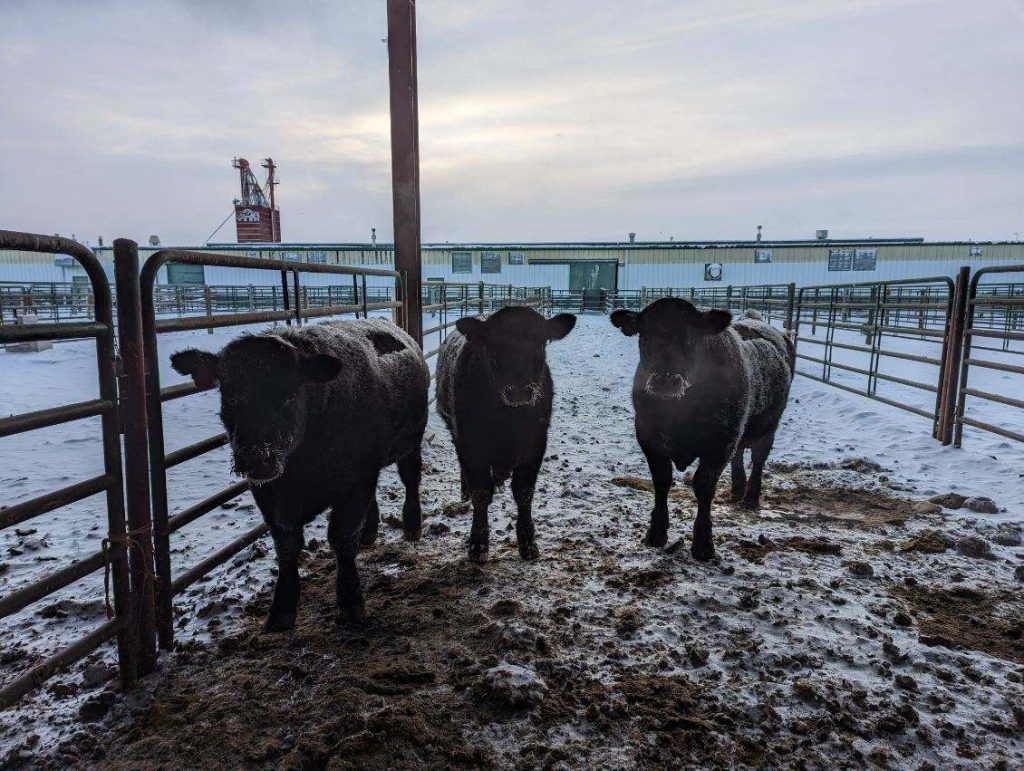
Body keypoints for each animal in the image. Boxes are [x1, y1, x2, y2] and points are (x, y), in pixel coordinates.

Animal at [170, 318, 429, 630]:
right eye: (228, 394)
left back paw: (412, 525)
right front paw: (282, 608)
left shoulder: (355, 482)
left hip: (411, 441)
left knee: (410, 478)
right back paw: (369, 531)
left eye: (291, 393)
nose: (256, 457)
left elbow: (342, 537)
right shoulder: (269, 495)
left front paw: (350, 601)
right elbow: (287, 545)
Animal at [436, 306, 577, 563]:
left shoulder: (536, 444)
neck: (509, 420)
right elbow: (481, 492)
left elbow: (524, 492)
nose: (519, 389)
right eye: (494, 344)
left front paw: (528, 542)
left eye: (540, 342)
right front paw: (478, 544)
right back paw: (465, 492)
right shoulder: (471, 444)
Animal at [610, 300, 793, 561]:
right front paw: (656, 532)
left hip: (767, 428)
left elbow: (704, 485)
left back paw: (750, 497)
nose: (665, 380)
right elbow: (661, 480)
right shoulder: (648, 436)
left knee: (758, 460)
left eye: (691, 338)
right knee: (739, 456)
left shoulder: (721, 441)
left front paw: (703, 543)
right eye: (644, 336)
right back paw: (737, 489)